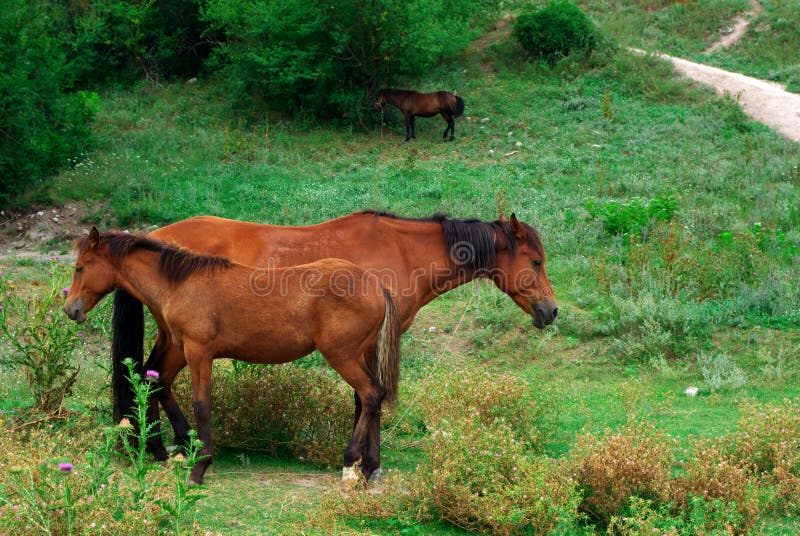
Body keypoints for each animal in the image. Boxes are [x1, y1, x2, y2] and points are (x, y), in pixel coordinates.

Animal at [64, 228, 400, 485]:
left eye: (80, 267)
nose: (70, 310)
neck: (180, 284)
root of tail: (376, 285)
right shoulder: (179, 349)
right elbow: (159, 385)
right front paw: (185, 446)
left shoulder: (198, 352)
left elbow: (201, 405)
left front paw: (200, 466)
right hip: (362, 355)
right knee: (371, 398)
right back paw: (368, 466)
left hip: (342, 356)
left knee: (370, 394)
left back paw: (351, 463)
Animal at [112, 211, 557, 466]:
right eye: (536, 261)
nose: (552, 311)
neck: (401, 251)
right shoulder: (364, 346)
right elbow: (367, 399)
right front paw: (367, 464)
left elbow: (368, 398)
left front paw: (367, 462)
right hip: (180, 340)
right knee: (154, 379)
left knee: (154, 379)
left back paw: (159, 446)